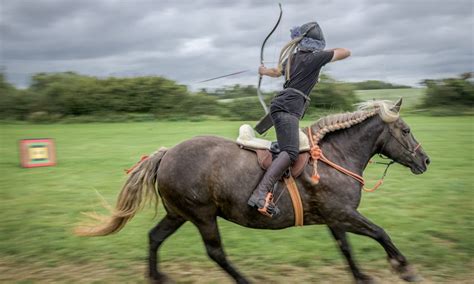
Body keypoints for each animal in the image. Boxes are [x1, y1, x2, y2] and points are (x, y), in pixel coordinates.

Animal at [75, 98, 430, 282]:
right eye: (406, 130)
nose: (425, 160)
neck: (332, 157)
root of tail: (167, 154)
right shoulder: (344, 214)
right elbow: (380, 233)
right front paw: (404, 268)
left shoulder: (335, 218)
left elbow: (345, 248)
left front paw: (363, 277)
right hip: (202, 216)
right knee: (215, 252)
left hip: (178, 214)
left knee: (154, 237)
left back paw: (158, 277)